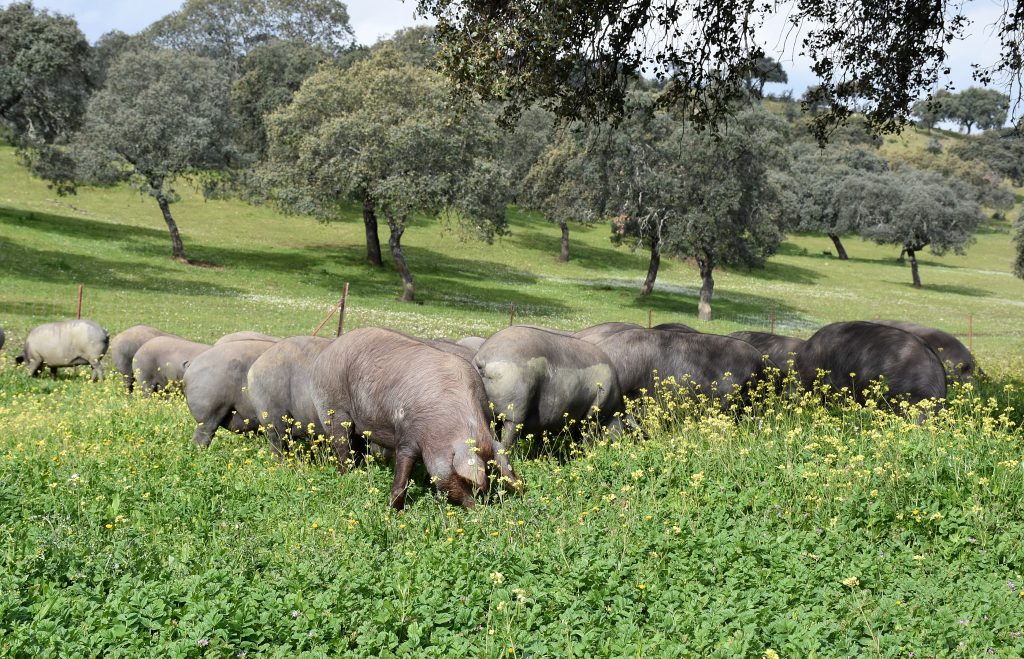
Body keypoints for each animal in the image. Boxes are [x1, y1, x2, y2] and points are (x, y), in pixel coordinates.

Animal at [310, 328, 518, 509]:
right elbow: (402, 475)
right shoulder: (407, 435)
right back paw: (346, 476)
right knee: (342, 446)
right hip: (332, 409)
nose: (478, 509)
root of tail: (327, 351)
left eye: (490, 475)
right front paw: (394, 510)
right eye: (465, 480)